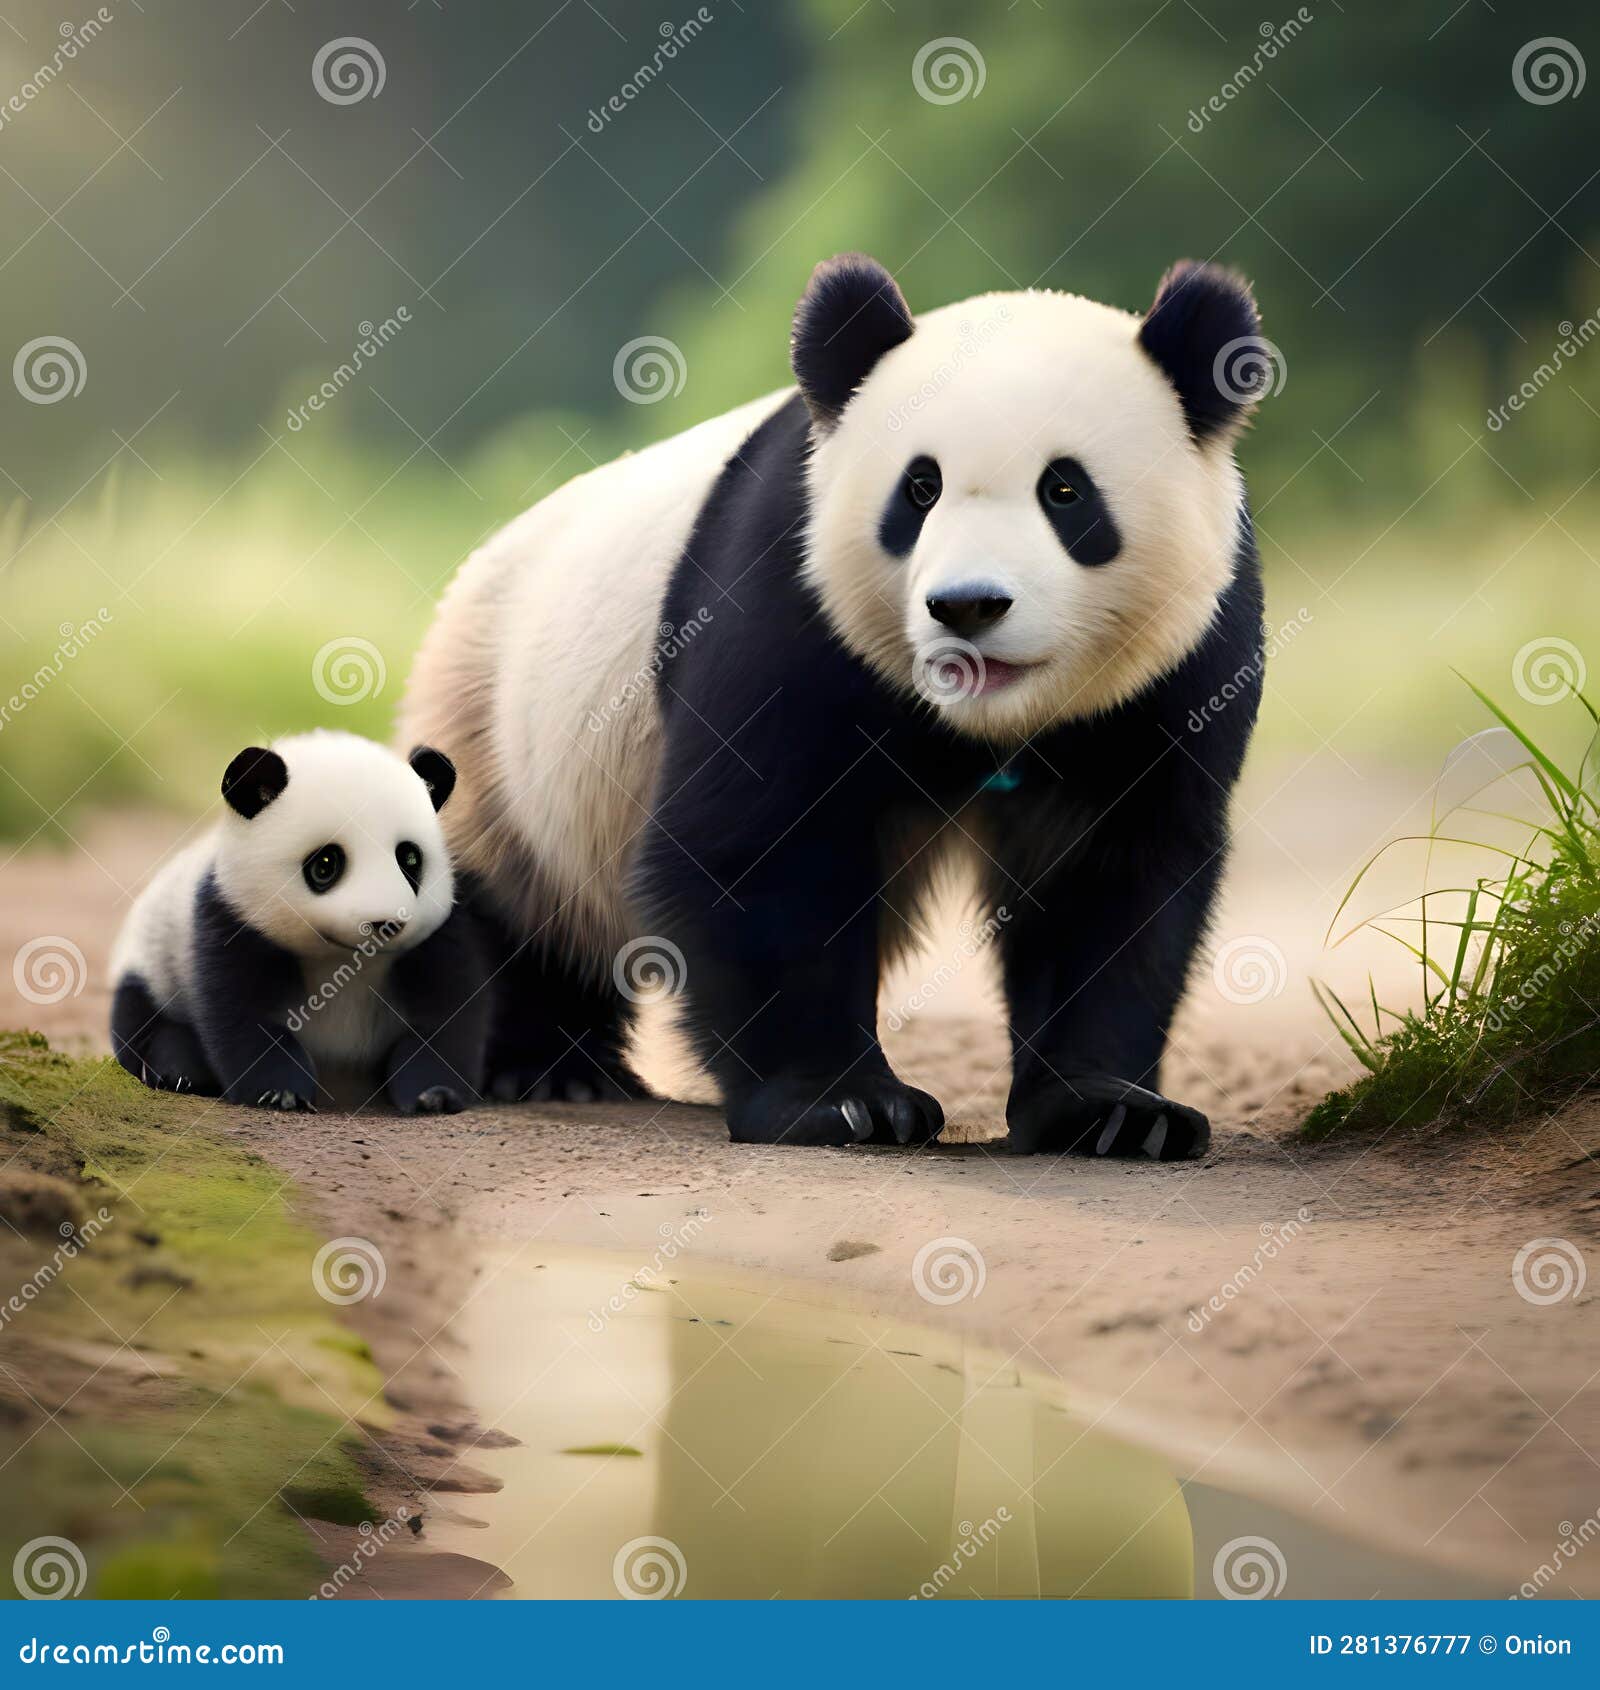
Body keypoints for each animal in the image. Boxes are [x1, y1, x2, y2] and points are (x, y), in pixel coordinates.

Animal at [109, 730, 488, 1114]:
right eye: (325, 864)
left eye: (410, 859)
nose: (385, 923)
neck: (344, 961)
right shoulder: (231, 921)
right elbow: (246, 1019)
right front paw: (280, 1093)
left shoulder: (437, 937)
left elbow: (445, 1020)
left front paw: (435, 1095)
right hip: (154, 964)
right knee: (144, 1020)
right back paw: (180, 1072)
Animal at [401, 254, 1267, 1153]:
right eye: (919, 489)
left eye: (1065, 491)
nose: (968, 607)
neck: (986, 724)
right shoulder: (791, 586)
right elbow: (761, 845)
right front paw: (843, 1102)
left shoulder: (1181, 664)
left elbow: (1107, 871)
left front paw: (1113, 1113)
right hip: (492, 726)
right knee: (511, 904)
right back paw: (550, 1066)